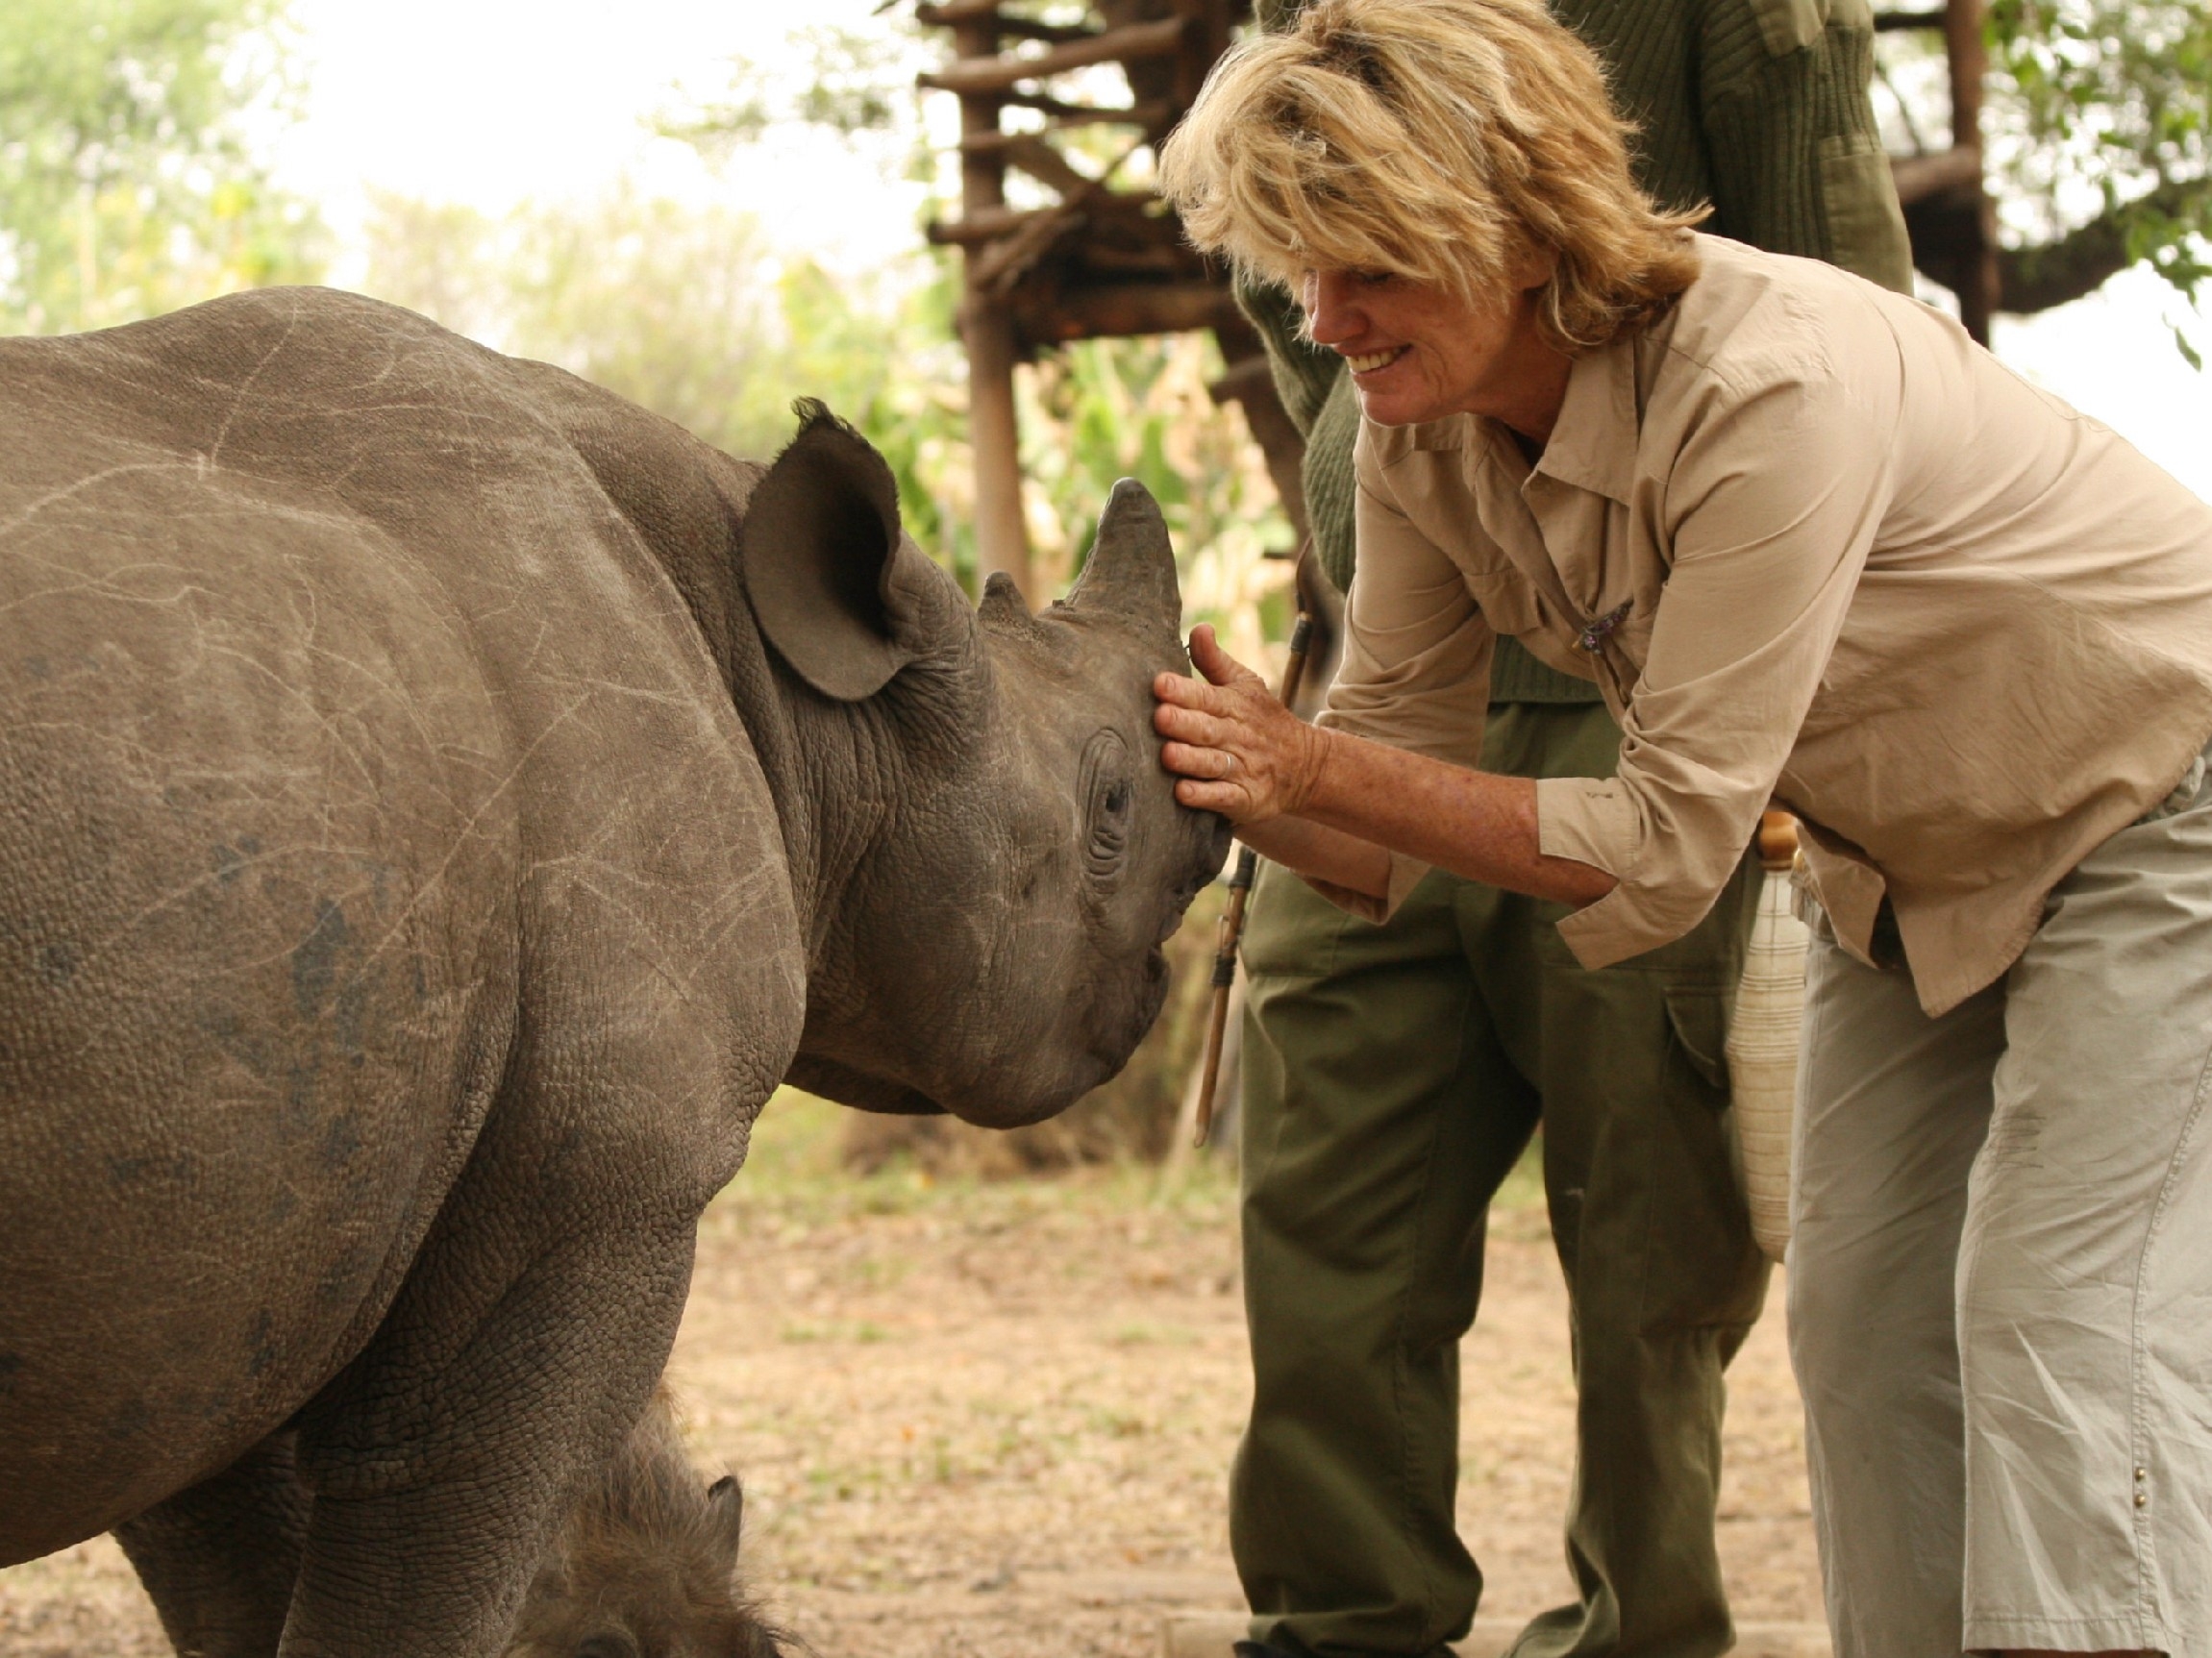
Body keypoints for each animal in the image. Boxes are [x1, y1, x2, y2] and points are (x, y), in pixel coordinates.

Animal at [0, 287, 1228, 1655]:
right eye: (1111, 806)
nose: (1220, 861)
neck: (807, 719)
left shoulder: (222, 1283)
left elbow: (238, 1574)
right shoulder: (583, 1198)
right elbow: (426, 1549)